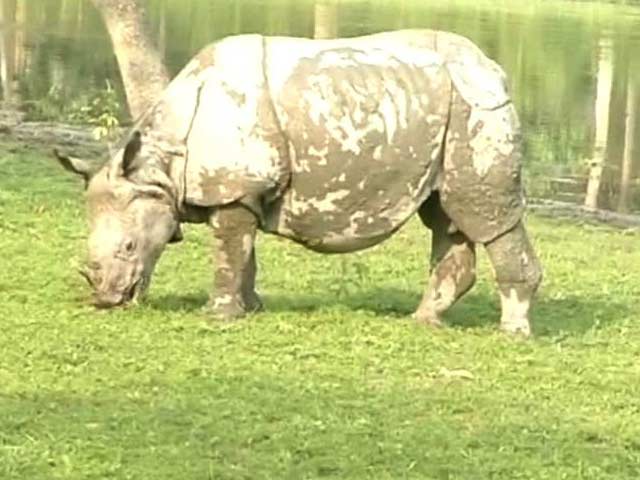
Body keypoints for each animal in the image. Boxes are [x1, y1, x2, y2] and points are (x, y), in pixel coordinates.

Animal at [56, 29, 542, 335]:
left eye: (129, 247)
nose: (105, 299)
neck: (160, 167)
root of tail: (495, 69)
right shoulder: (243, 191)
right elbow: (244, 252)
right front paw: (251, 308)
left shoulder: (235, 189)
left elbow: (229, 251)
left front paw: (219, 317)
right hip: (446, 111)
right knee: (446, 216)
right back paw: (424, 321)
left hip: (478, 108)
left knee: (485, 216)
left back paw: (512, 333)